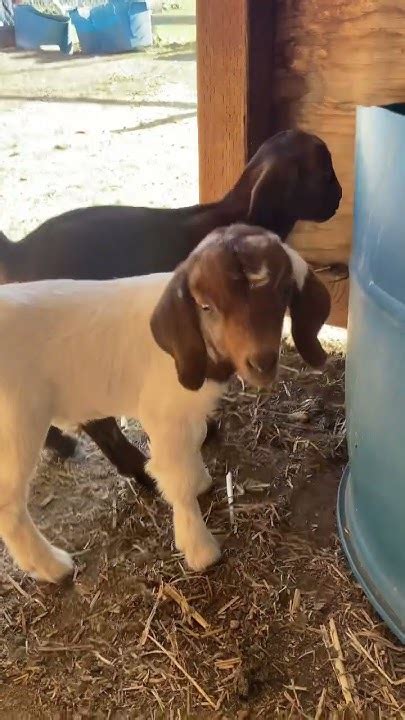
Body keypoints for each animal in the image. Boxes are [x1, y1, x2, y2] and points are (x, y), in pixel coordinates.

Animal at [0, 129, 341, 489]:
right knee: (98, 422)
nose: (339, 198)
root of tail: (19, 252)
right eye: (325, 172)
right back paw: (138, 469)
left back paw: (61, 443)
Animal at [0, 224, 330, 582]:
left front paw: (201, 480)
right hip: (16, 427)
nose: (262, 363)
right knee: (9, 504)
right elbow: (176, 477)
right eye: (206, 306)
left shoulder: (187, 413)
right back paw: (52, 566)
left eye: (284, 291)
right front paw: (200, 549)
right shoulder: (163, 416)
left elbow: (195, 445)